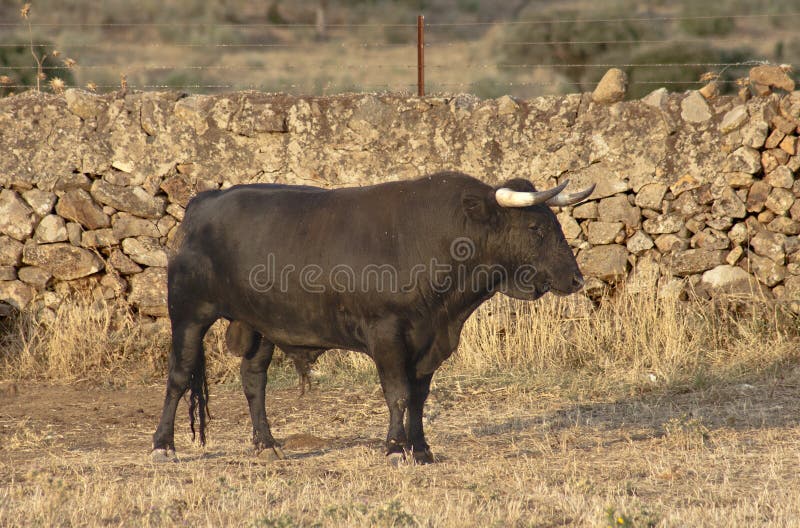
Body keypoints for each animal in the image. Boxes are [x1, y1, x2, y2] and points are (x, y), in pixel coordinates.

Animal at [151, 171, 594, 464]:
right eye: (535, 226)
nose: (575, 278)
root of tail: (202, 203)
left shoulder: (431, 340)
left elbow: (418, 396)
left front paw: (422, 448)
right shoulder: (388, 333)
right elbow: (397, 393)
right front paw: (396, 448)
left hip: (261, 325)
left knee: (253, 378)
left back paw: (268, 444)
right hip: (189, 314)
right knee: (179, 374)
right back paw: (163, 445)